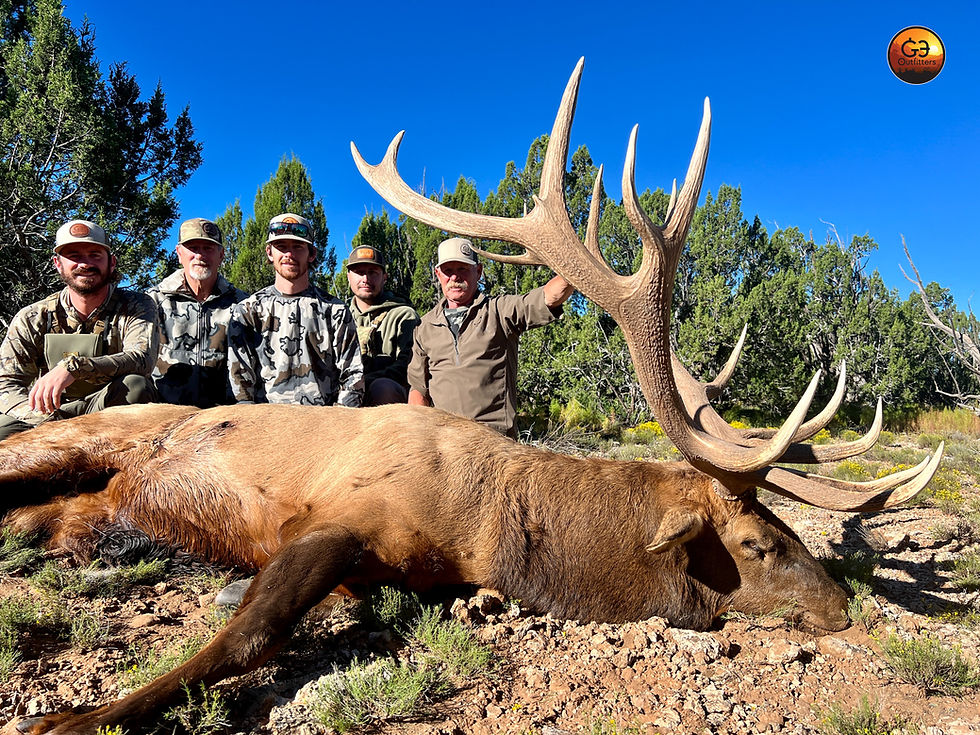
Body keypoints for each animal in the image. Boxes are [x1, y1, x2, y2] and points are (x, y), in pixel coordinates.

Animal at [2, 58, 942, 735]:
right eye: (757, 542)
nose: (844, 604)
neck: (496, 532)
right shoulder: (337, 516)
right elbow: (250, 634)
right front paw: (75, 717)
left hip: (91, 502)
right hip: (68, 441)